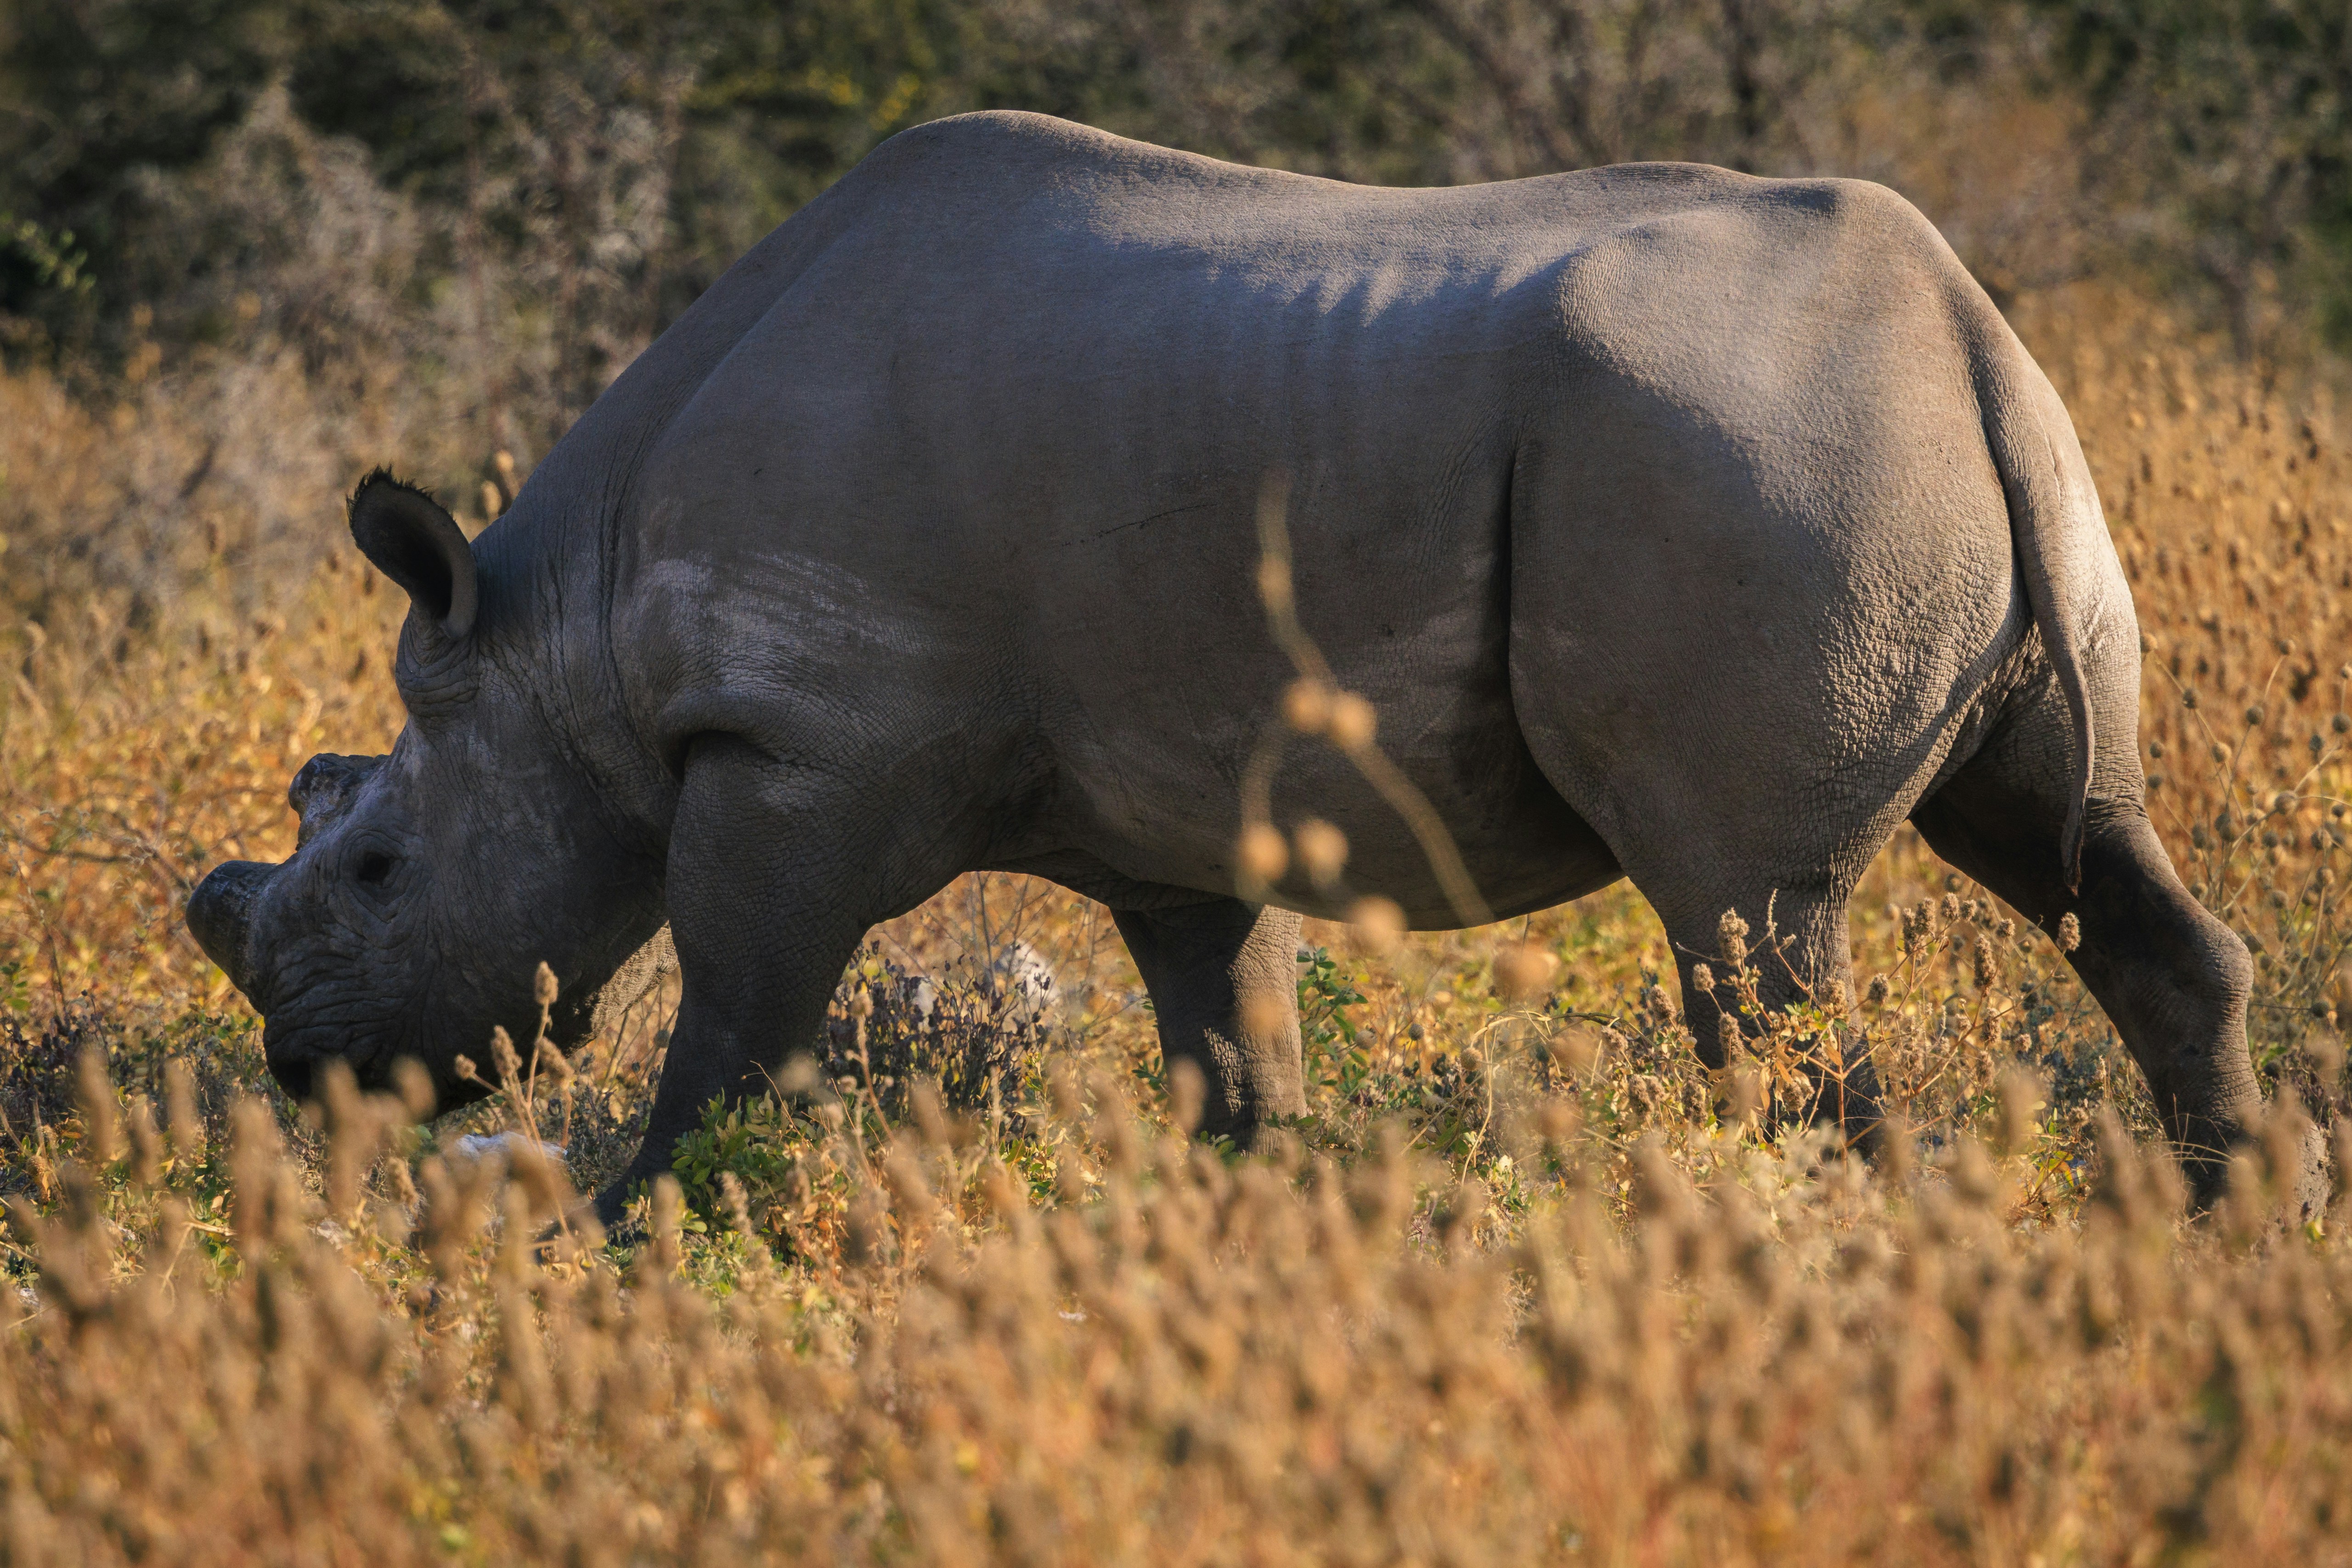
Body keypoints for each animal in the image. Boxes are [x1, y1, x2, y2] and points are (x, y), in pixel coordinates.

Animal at [186, 110, 2296, 1215]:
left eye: (373, 864)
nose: (308, 1075)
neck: (563, 635)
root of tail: (1964, 335)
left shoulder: (796, 747)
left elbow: (733, 1020)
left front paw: (629, 1241)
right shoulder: (1181, 809)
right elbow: (1229, 1054)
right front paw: (1262, 1243)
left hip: (1755, 460)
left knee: (1746, 928)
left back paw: (1806, 1233)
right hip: (1947, 474)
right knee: (2078, 852)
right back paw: (2231, 1221)